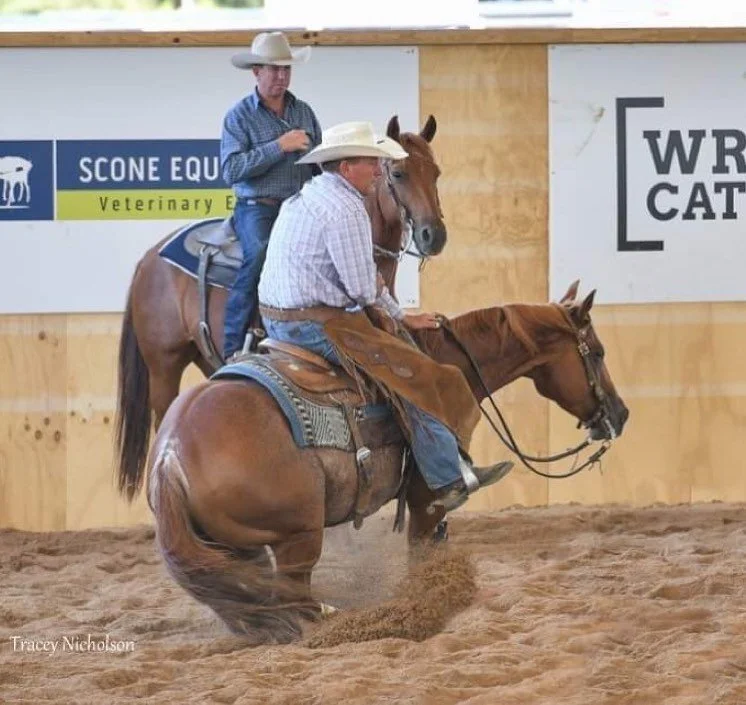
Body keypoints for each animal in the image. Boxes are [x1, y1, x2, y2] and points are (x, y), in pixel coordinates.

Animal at [130, 282, 628, 643]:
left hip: (235, 548)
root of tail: (169, 459)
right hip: (298, 538)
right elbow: (422, 551)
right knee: (292, 600)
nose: (620, 414)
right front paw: (424, 605)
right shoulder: (427, 499)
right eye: (599, 353)